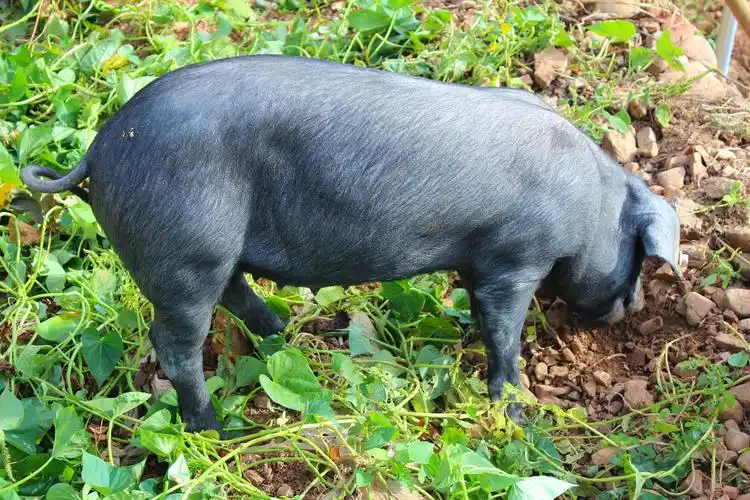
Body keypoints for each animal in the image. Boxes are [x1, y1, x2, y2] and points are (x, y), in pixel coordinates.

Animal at [21, 55, 680, 433]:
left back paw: (290, 336)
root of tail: (101, 147)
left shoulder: (482, 262)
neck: (592, 203)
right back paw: (215, 429)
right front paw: (516, 414)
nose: (632, 308)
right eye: (639, 258)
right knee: (177, 341)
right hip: (184, 249)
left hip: (205, 252)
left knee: (235, 295)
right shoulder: (514, 258)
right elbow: (503, 333)